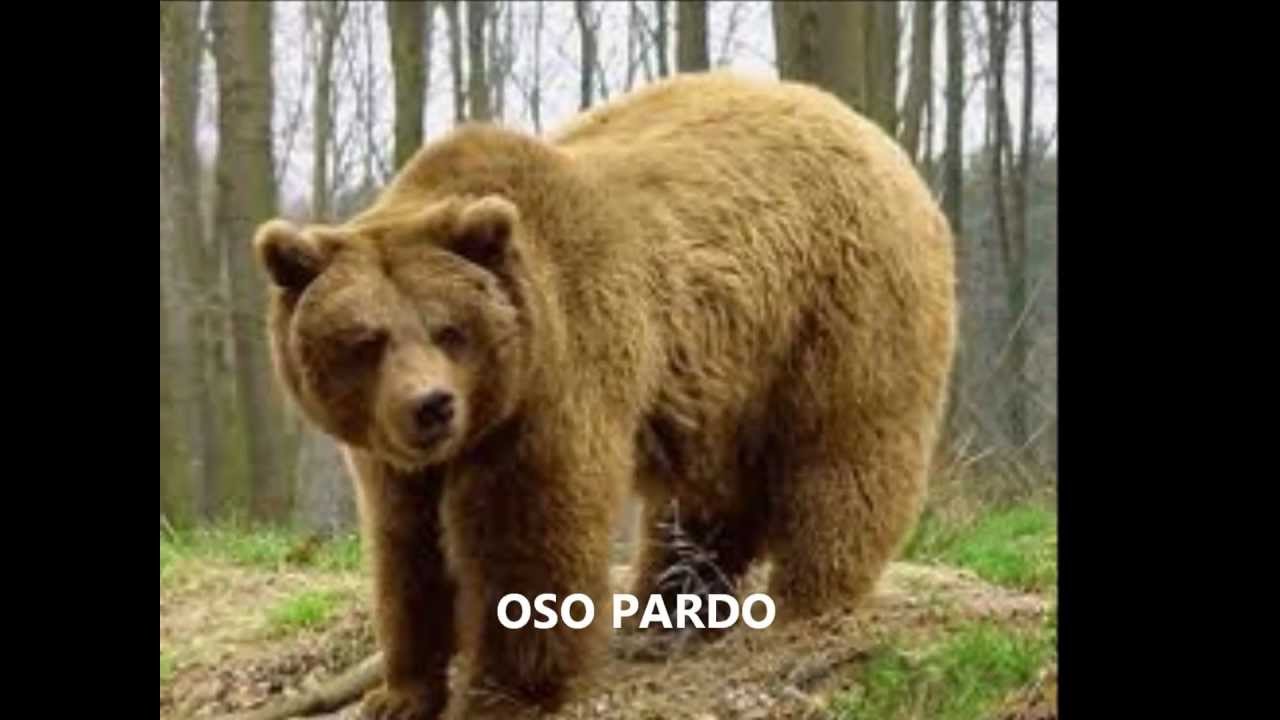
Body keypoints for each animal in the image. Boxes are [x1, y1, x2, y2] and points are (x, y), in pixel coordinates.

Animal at [252, 70, 956, 720]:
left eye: (448, 329)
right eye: (366, 340)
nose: (431, 406)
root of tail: (872, 132)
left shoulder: (554, 375)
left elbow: (530, 530)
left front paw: (503, 691)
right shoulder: (392, 453)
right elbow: (406, 545)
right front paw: (400, 693)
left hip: (838, 305)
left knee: (843, 453)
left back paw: (807, 600)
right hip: (726, 373)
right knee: (709, 495)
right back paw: (670, 611)